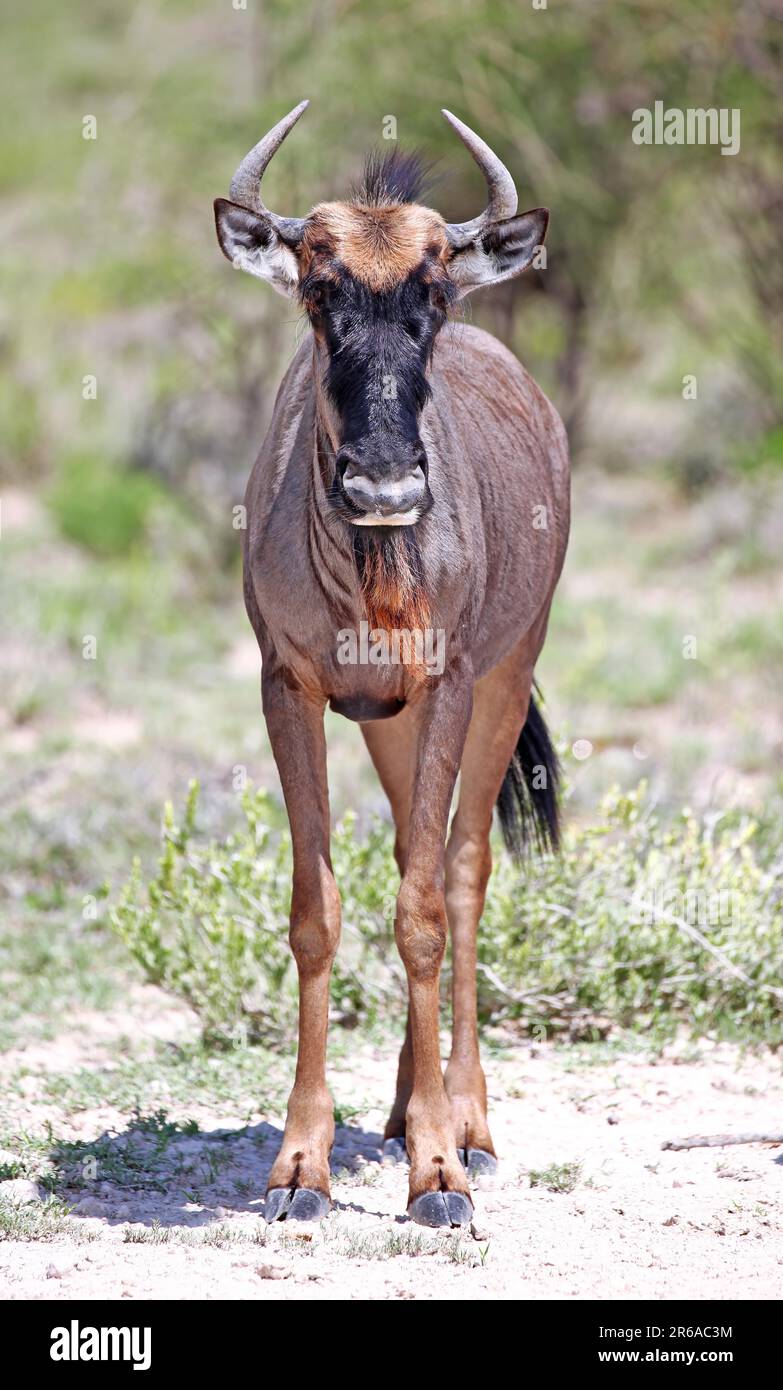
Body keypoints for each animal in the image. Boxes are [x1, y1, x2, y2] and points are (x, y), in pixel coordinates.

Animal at [214, 102, 570, 1227]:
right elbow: (317, 911)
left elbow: (424, 906)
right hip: (390, 721)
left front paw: (440, 1175)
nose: (382, 484)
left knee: (458, 874)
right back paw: (407, 1111)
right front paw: (300, 1166)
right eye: (319, 288)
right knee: (421, 861)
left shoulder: (452, 684)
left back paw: (468, 1122)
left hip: (501, 678)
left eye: (435, 294)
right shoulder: (294, 690)